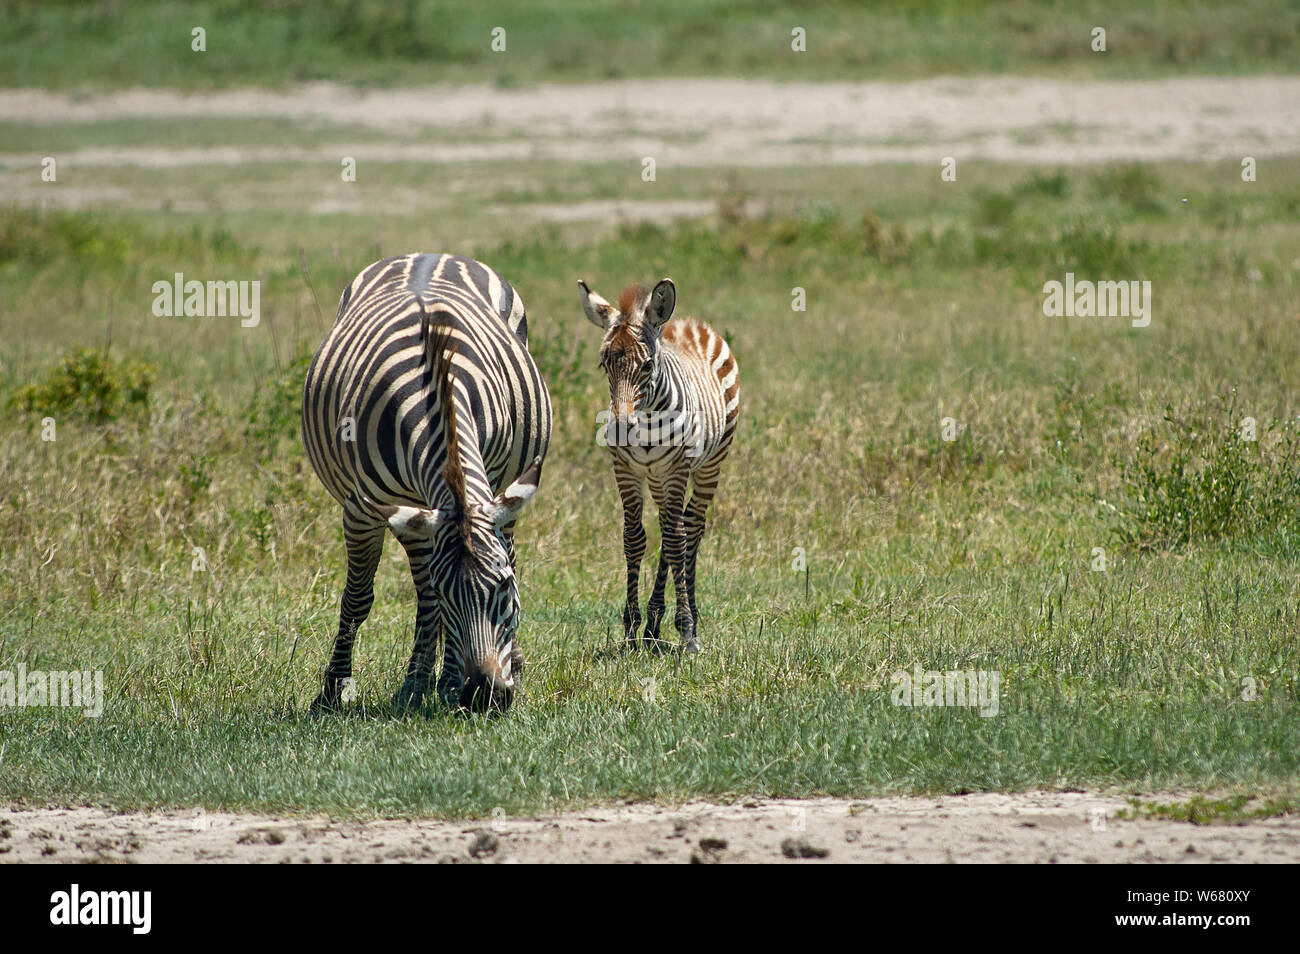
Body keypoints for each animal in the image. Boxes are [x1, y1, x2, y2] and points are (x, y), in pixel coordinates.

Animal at [302, 253, 552, 713]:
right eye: (452, 594)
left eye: (505, 587)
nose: (486, 695)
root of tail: (428, 255)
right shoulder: (362, 508)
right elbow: (360, 597)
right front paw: (333, 689)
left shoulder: (491, 486)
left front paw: (453, 682)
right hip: (414, 516)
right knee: (421, 594)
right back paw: (418, 681)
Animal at [578, 277, 739, 653]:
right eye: (604, 365)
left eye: (647, 366)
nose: (621, 428)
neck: (648, 421)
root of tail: (690, 323)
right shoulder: (626, 471)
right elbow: (634, 539)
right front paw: (631, 627)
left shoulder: (677, 469)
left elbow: (678, 540)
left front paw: (687, 630)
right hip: (656, 478)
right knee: (669, 527)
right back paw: (653, 622)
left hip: (710, 465)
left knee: (690, 527)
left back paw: (689, 617)